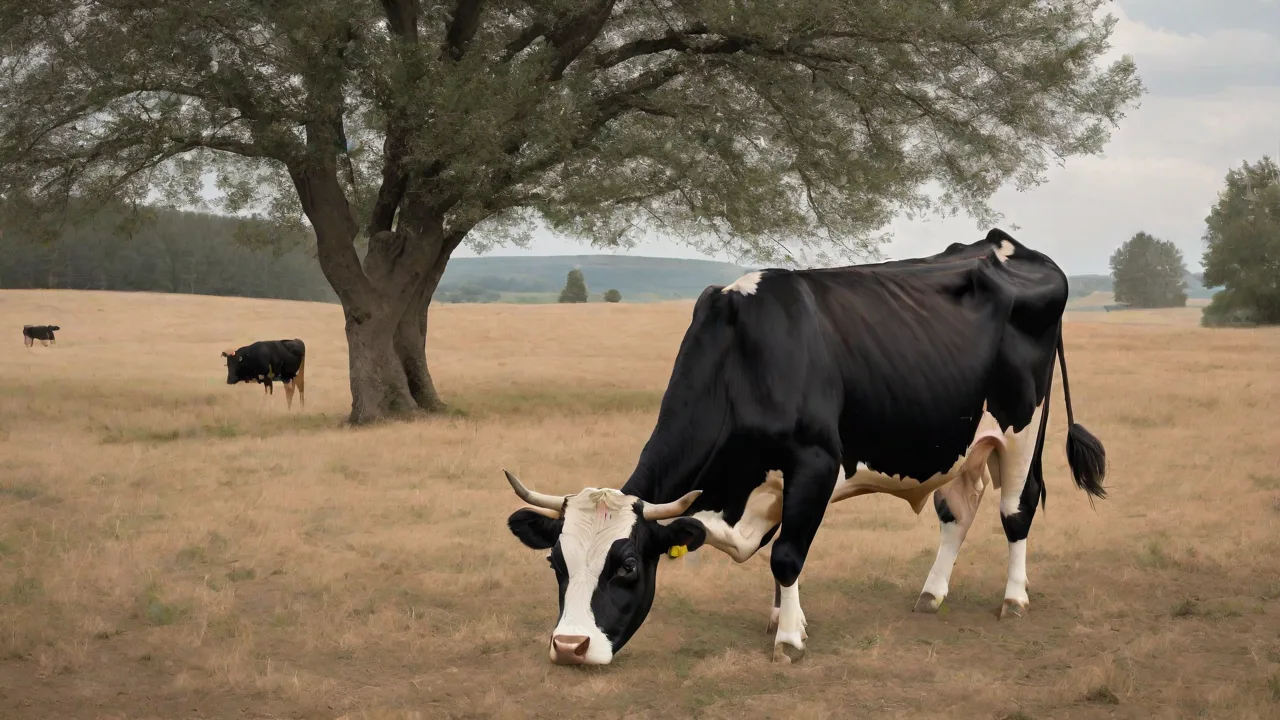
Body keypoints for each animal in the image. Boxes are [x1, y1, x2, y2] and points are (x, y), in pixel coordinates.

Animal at [503, 228, 1107, 666]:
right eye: (556, 562)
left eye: (627, 566)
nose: (569, 647)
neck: (741, 357)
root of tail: (1006, 243)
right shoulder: (766, 482)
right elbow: (772, 551)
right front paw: (780, 618)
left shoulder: (814, 462)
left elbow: (787, 554)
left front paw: (789, 639)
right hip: (962, 441)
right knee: (959, 508)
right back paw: (931, 594)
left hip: (1022, 427)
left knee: (1016, 510)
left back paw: (1014, 599)